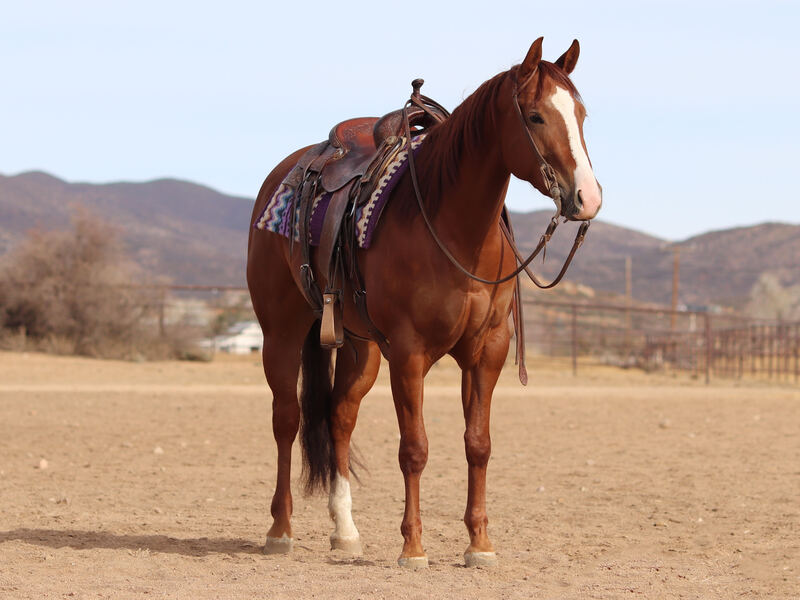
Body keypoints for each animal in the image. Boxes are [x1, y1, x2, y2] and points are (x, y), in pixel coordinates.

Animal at [246, 37, 602, 568]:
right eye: (536, 116)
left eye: (580, 114)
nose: (588, 197)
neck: (454, 230)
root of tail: (284, 174)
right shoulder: (410, 354)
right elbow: (414, 448)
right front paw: (413, 548)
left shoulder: (487, 350)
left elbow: (478, 444)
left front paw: (479, 544)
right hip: (281, 332)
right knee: (286, 419)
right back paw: (280, 531)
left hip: (361, 349)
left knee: (339, 417)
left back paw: (345, 532)